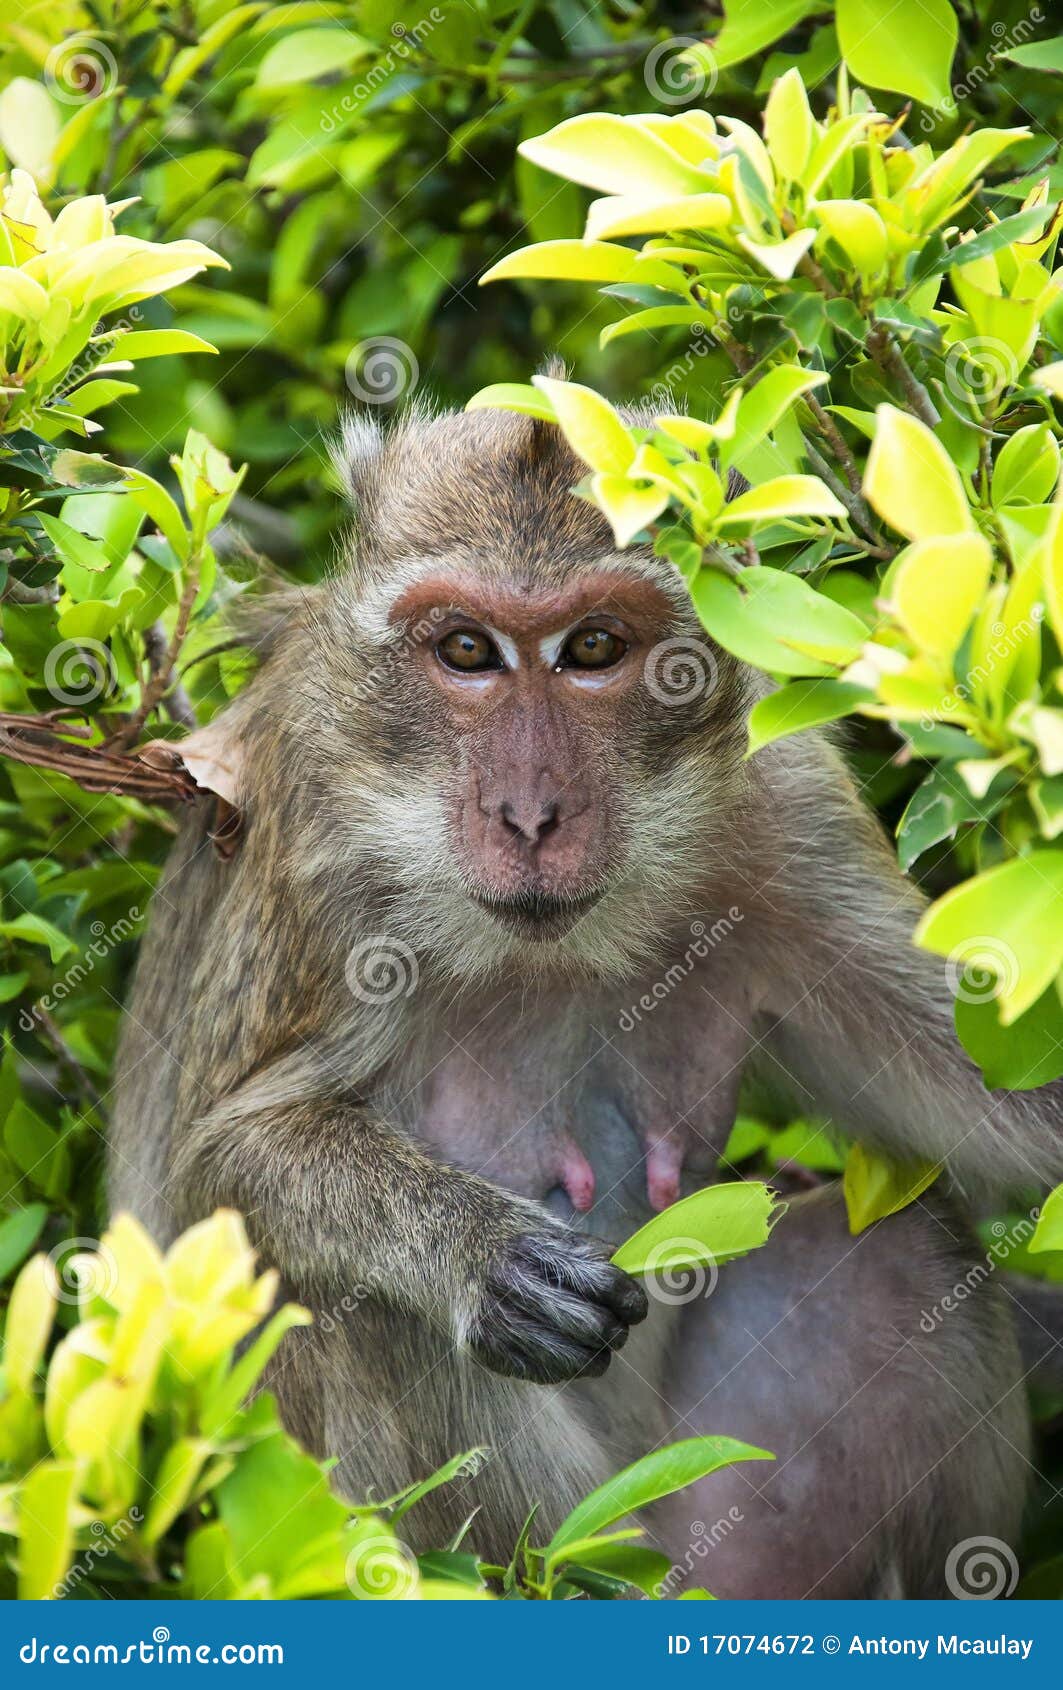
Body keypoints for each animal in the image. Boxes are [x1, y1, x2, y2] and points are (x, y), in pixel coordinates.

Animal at [108, 399, 1052, 1595]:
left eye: (594, 648)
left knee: (890, 1244)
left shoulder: (786, 803)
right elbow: (212, 1181)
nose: (529, 814)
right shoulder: (320, 846)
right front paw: (480, 1257)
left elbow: (999, 1107)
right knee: (357, 1309)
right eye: (466, 650)